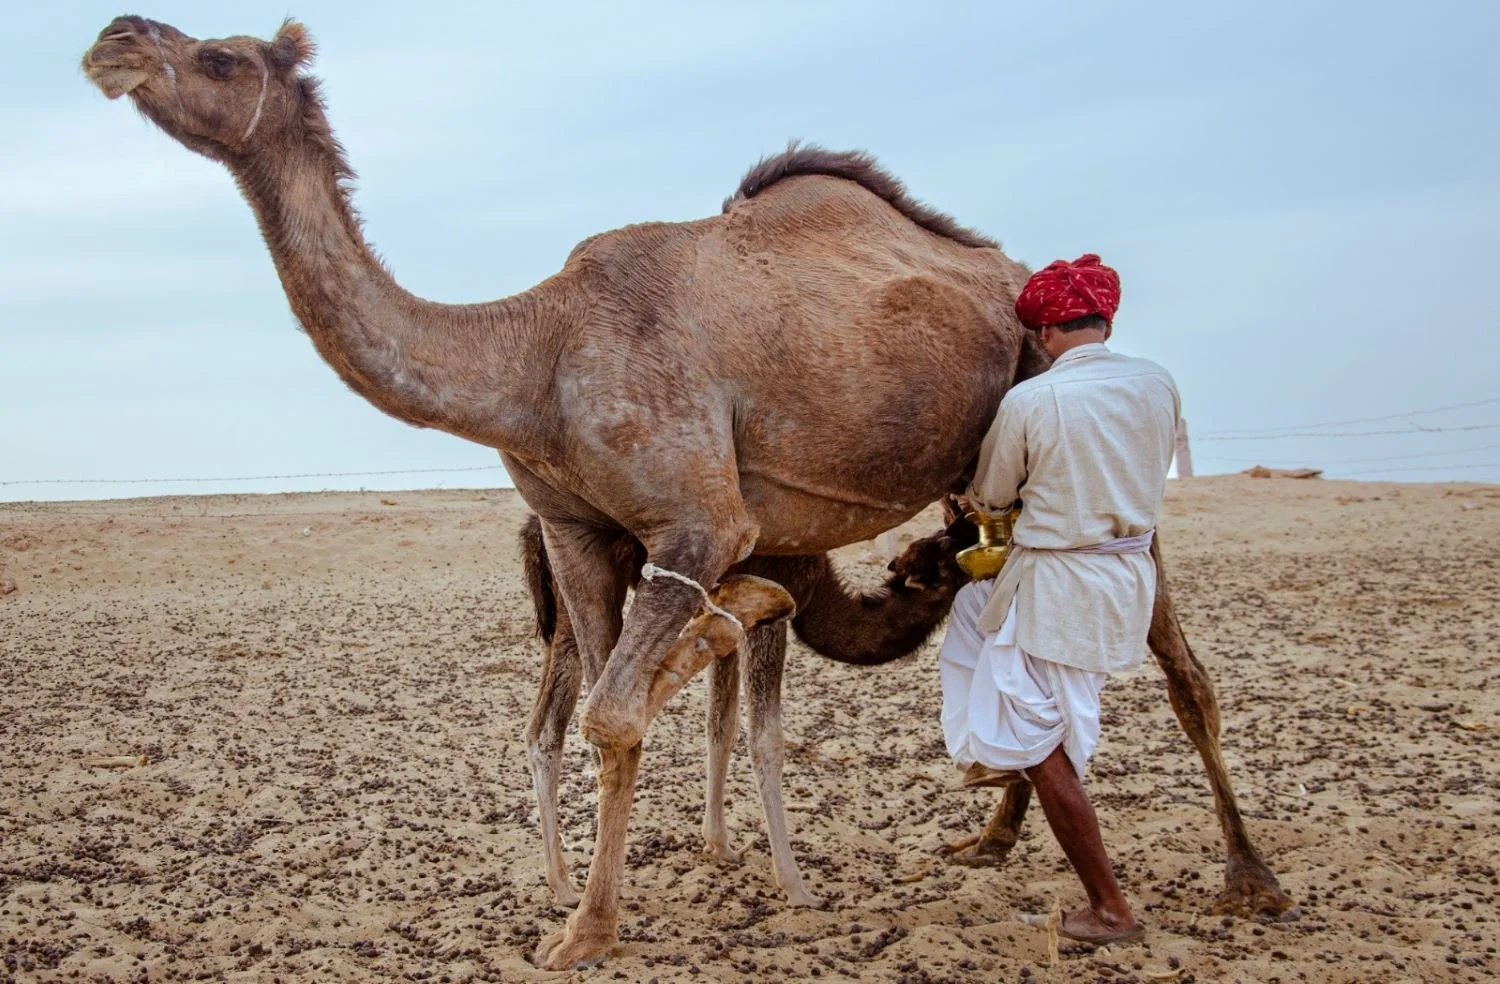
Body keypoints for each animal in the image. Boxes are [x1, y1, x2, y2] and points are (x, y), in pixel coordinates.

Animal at [518, 508, 972, 908]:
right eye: (948, 556)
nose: (966, 524)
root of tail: (533, 530)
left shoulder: (730, 612)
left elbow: (721, 725)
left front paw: (720, 844)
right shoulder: (775, 605)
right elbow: (765, 740)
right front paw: (795, 886)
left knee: (543, 727)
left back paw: (561, 880)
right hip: (575, 598)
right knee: (549, 730)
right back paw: (564, 885)